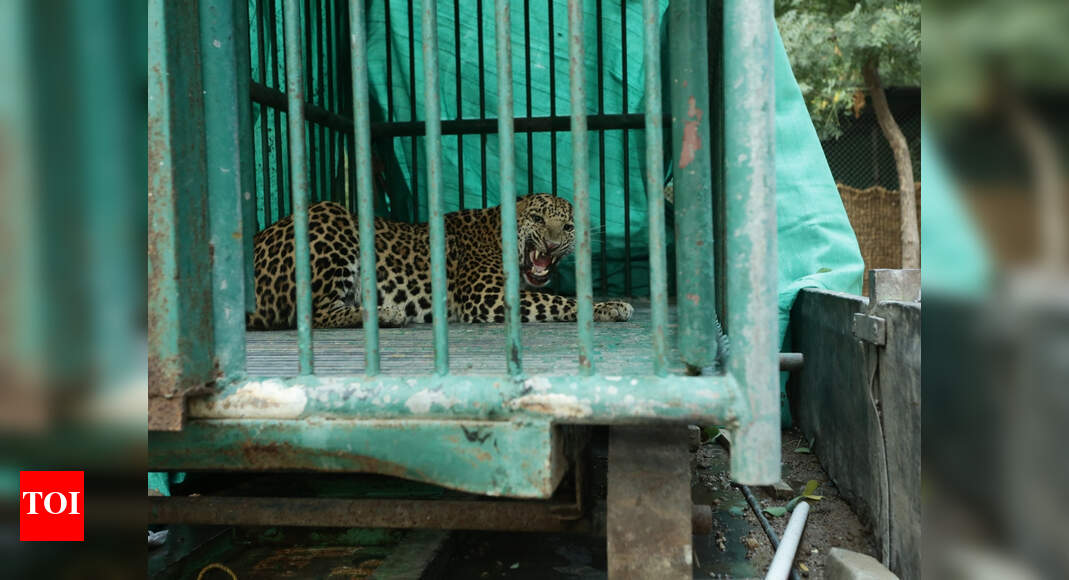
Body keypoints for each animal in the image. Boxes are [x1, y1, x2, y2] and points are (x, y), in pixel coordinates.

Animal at [246, 193, 634, 330]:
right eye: (538, 219)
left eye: (568, 227)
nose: (552, 244)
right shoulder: (486, 297)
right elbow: (560, 300)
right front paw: (611, 306)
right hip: (328, 216)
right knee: (317, 314)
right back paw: (388, 314)